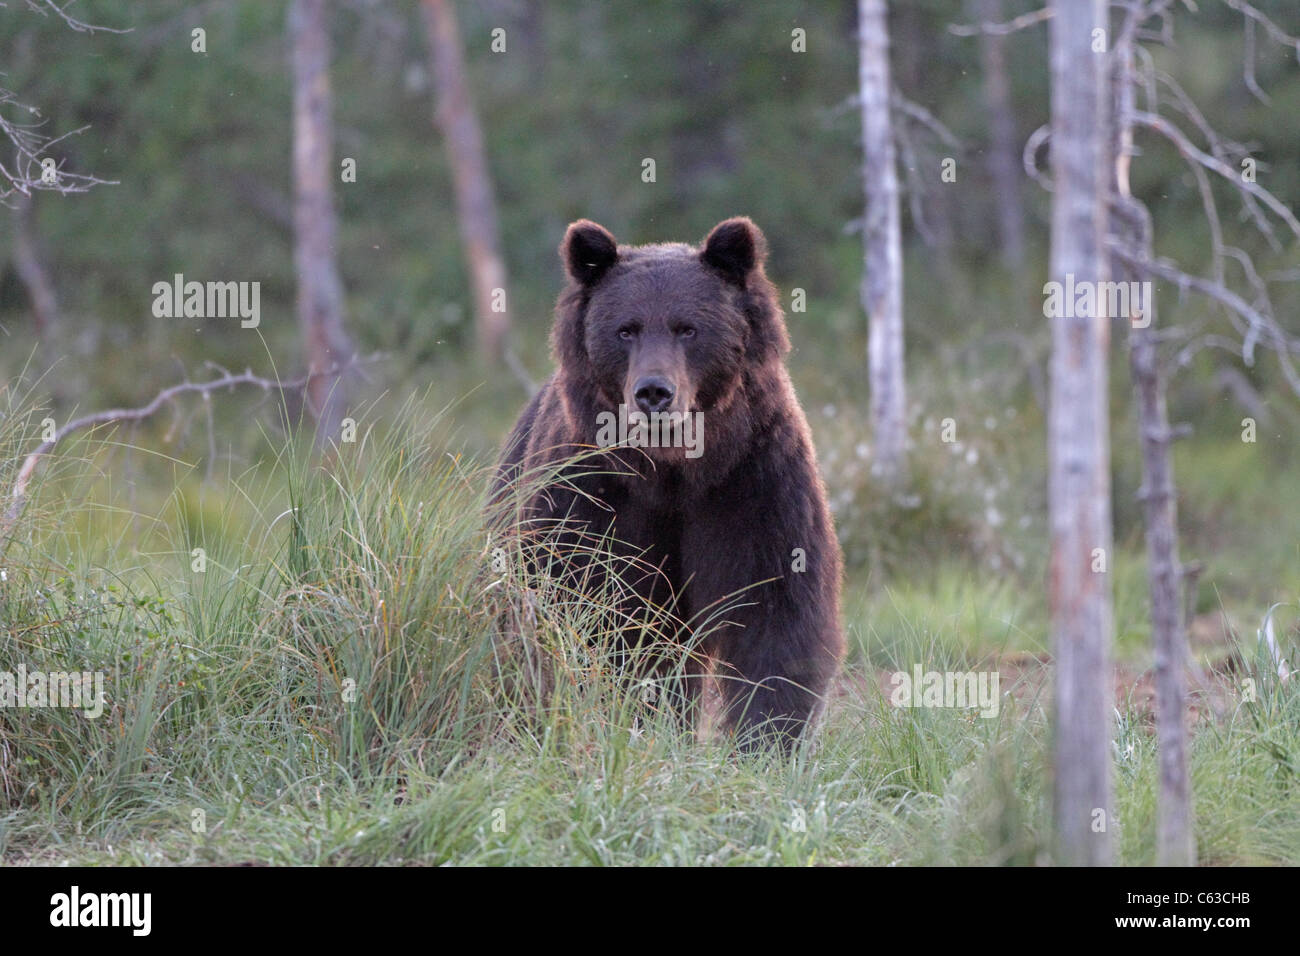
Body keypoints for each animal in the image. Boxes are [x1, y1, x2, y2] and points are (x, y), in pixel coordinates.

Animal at [492, 216, 844, 751]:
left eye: (688, 328)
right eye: (626, 329)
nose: (654, 392)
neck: (672, 470)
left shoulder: (752, 480)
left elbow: (777, 609)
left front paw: (766, 740)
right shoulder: (591, 493)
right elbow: (585, 607)